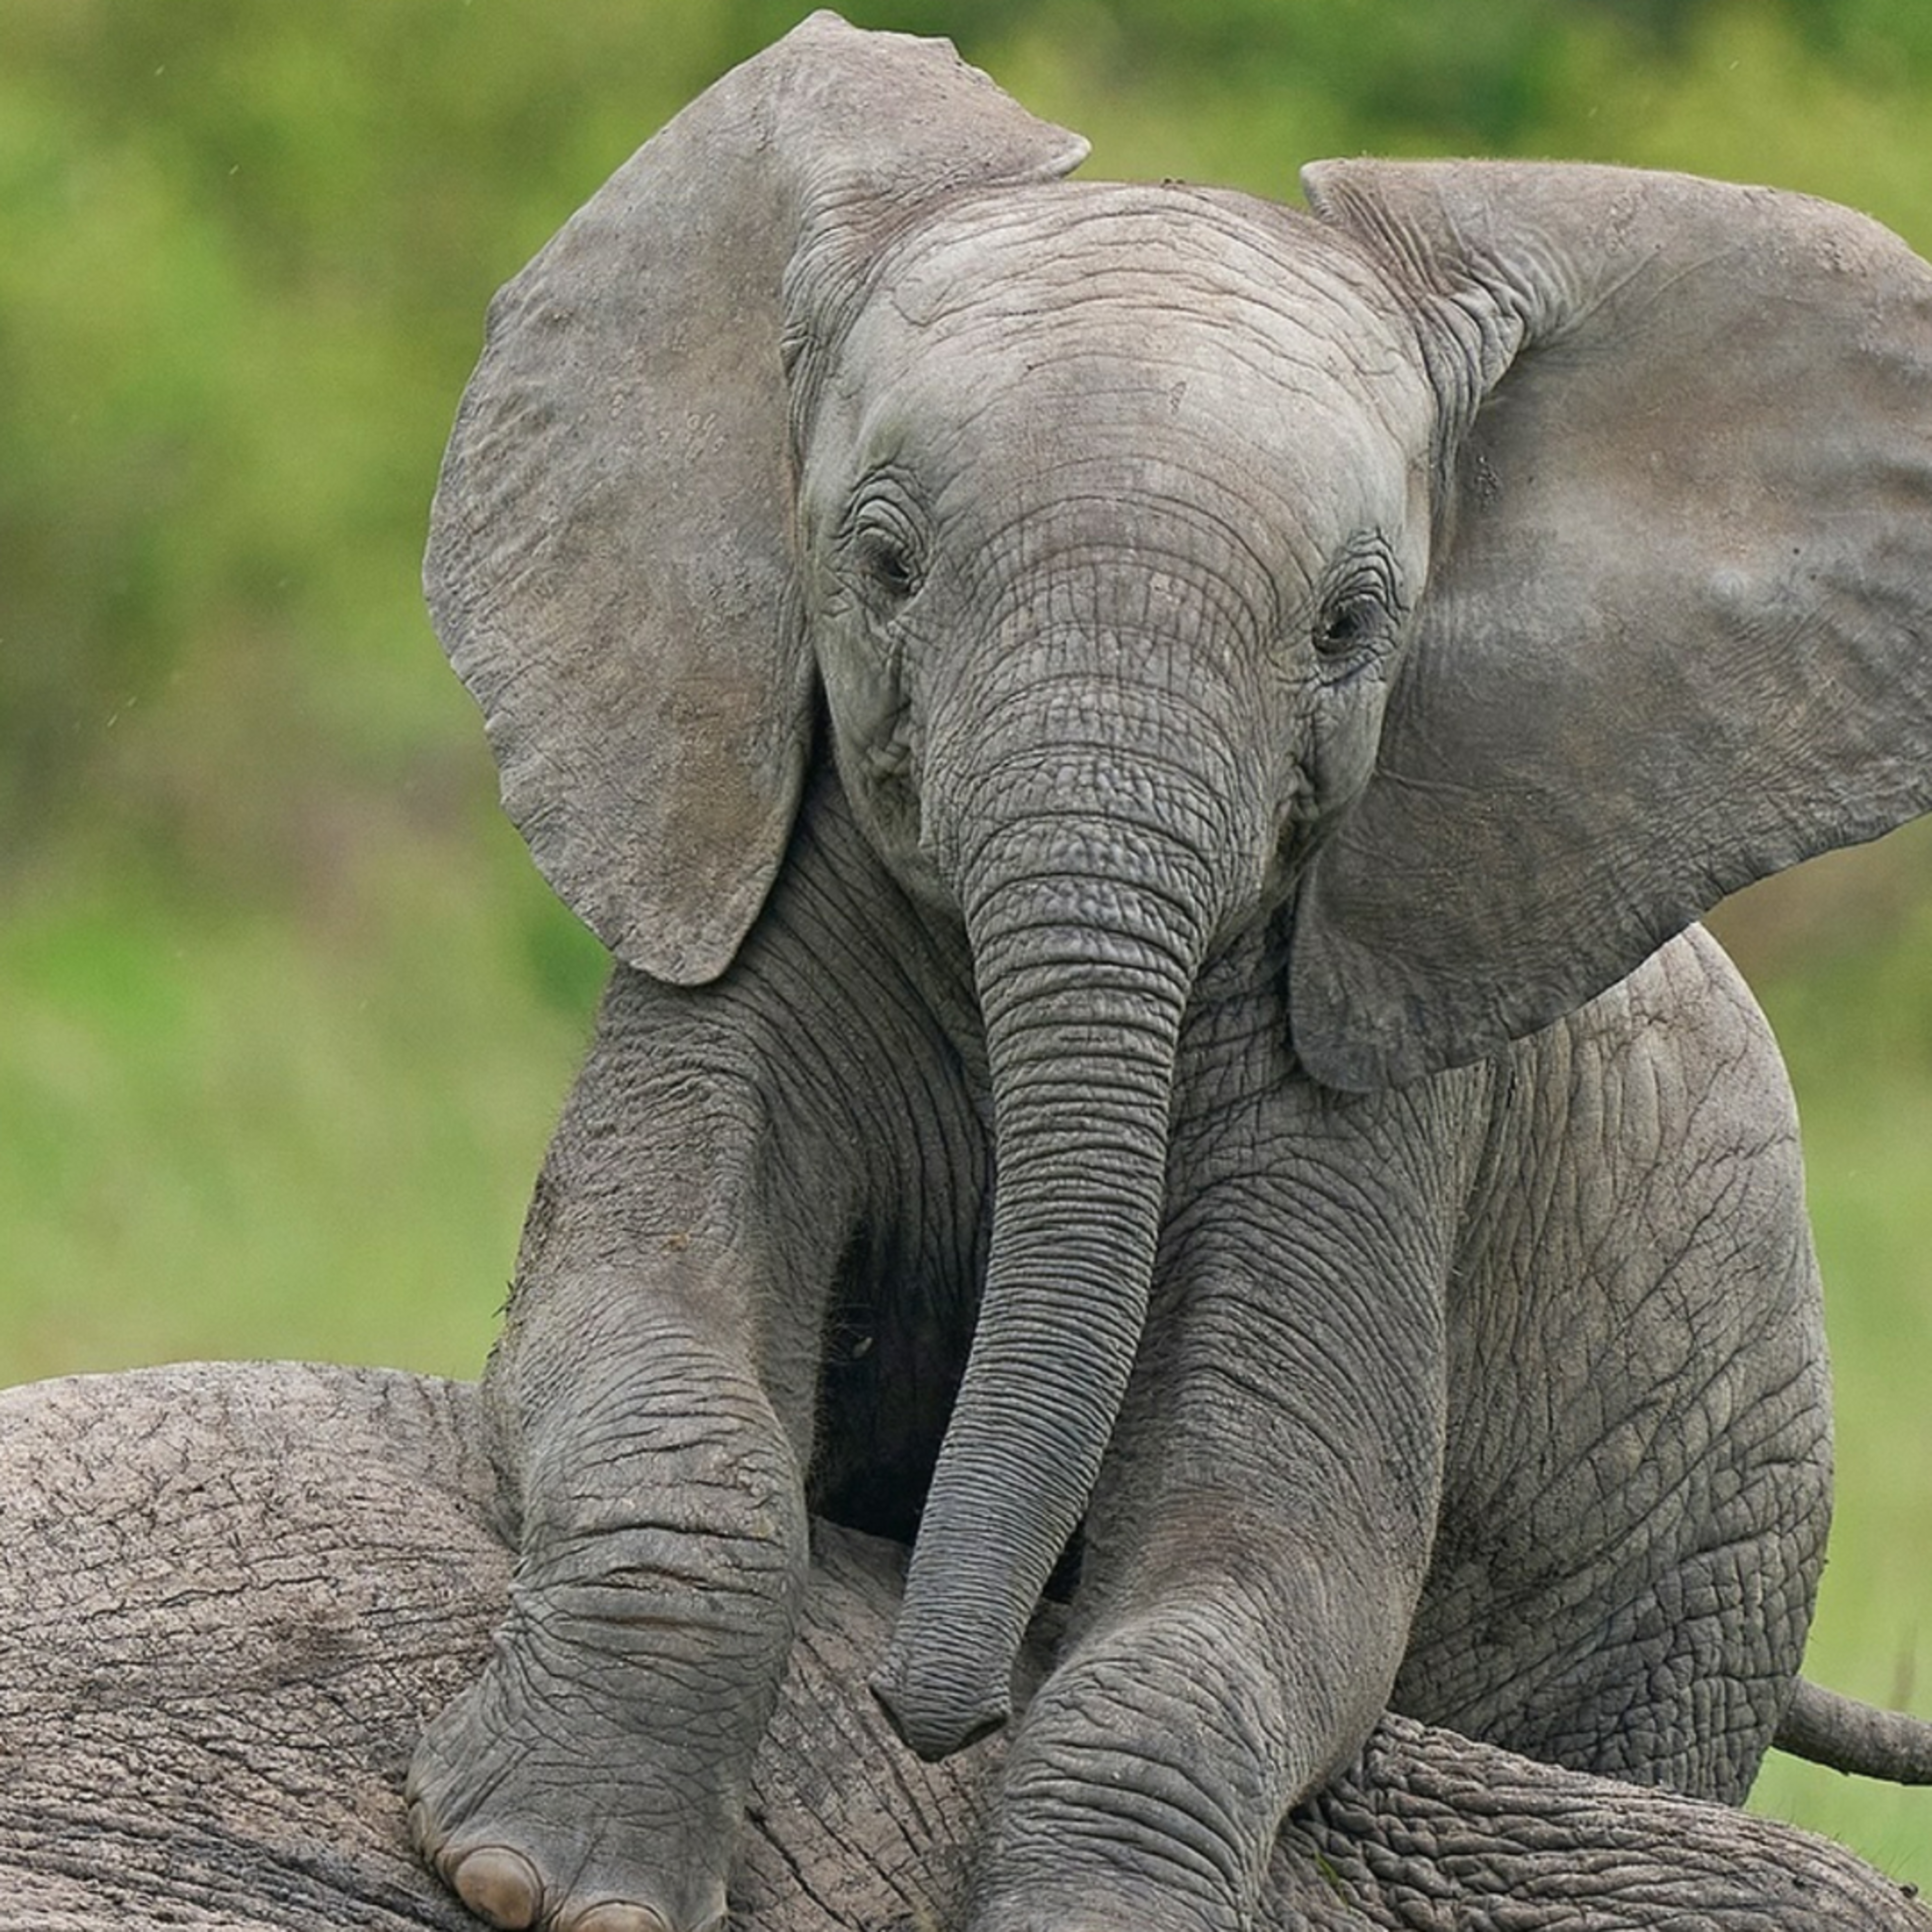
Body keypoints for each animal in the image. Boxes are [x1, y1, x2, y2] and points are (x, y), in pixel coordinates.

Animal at [405, 15, 1932, 1932]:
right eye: (883, 564)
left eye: (1349, 628)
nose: (933, 1702)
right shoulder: (744, 881)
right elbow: (635, 1331)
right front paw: (535, 1878)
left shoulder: (1385, 1075)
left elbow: (1270, 1542)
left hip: (1715, 1535)